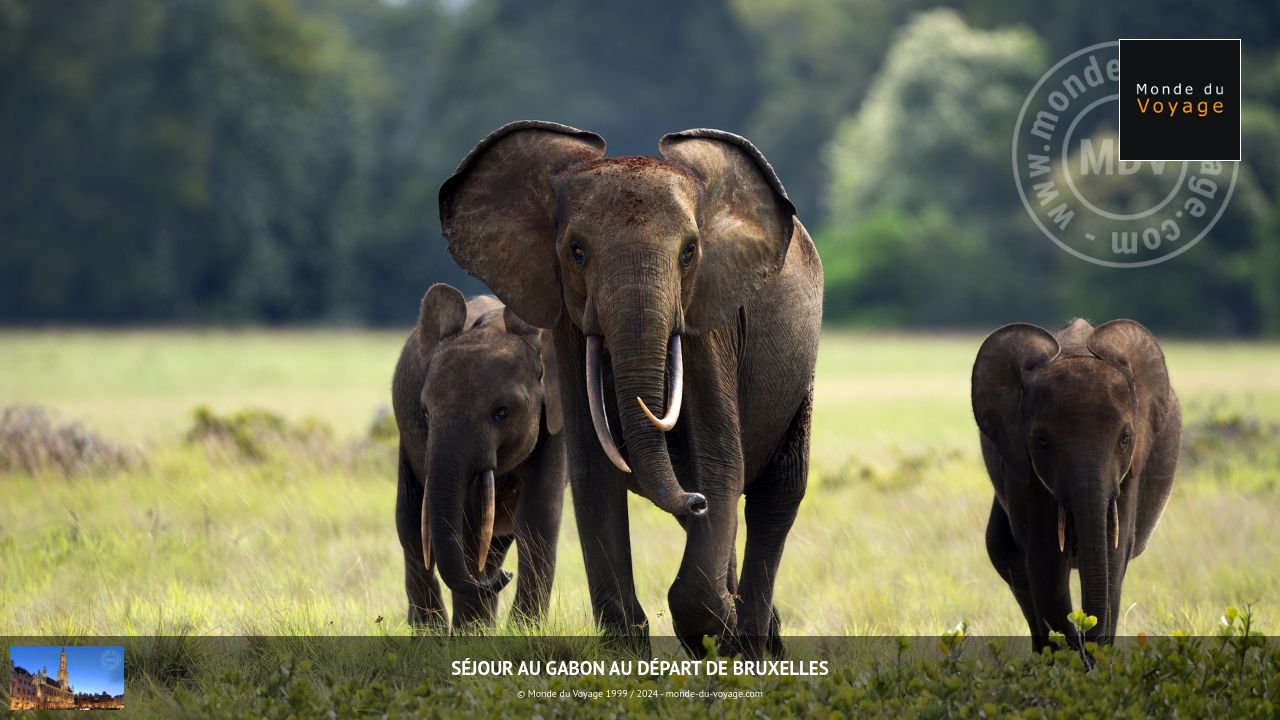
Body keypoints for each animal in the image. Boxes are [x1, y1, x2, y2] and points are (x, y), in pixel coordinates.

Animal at [391, 280, 568, 627]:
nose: (504, 577)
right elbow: (467, 520)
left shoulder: (558, 419)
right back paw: (431, 629)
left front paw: (524, 628)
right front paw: (472, 632)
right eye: (426, 413)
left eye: (502, 412)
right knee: (410, 521)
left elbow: (538, 513)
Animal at [437, 119, 819, 655]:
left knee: (777, 493)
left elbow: (719, 458)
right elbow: (594, 469)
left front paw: (714, 630)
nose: (695, 500)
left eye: (689, 253)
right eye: (577, 252)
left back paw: (750, 645)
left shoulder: (709, 320)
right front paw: (631, 652)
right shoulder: (566, 324)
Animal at [972, 316, 1182, 648]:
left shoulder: (1130, 473)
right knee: (1008, 560)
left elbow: (1112, 556)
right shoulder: (1023, 468)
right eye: (1042, 443)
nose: (1087, 636)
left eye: (1125, 439)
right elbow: (1045, 560)